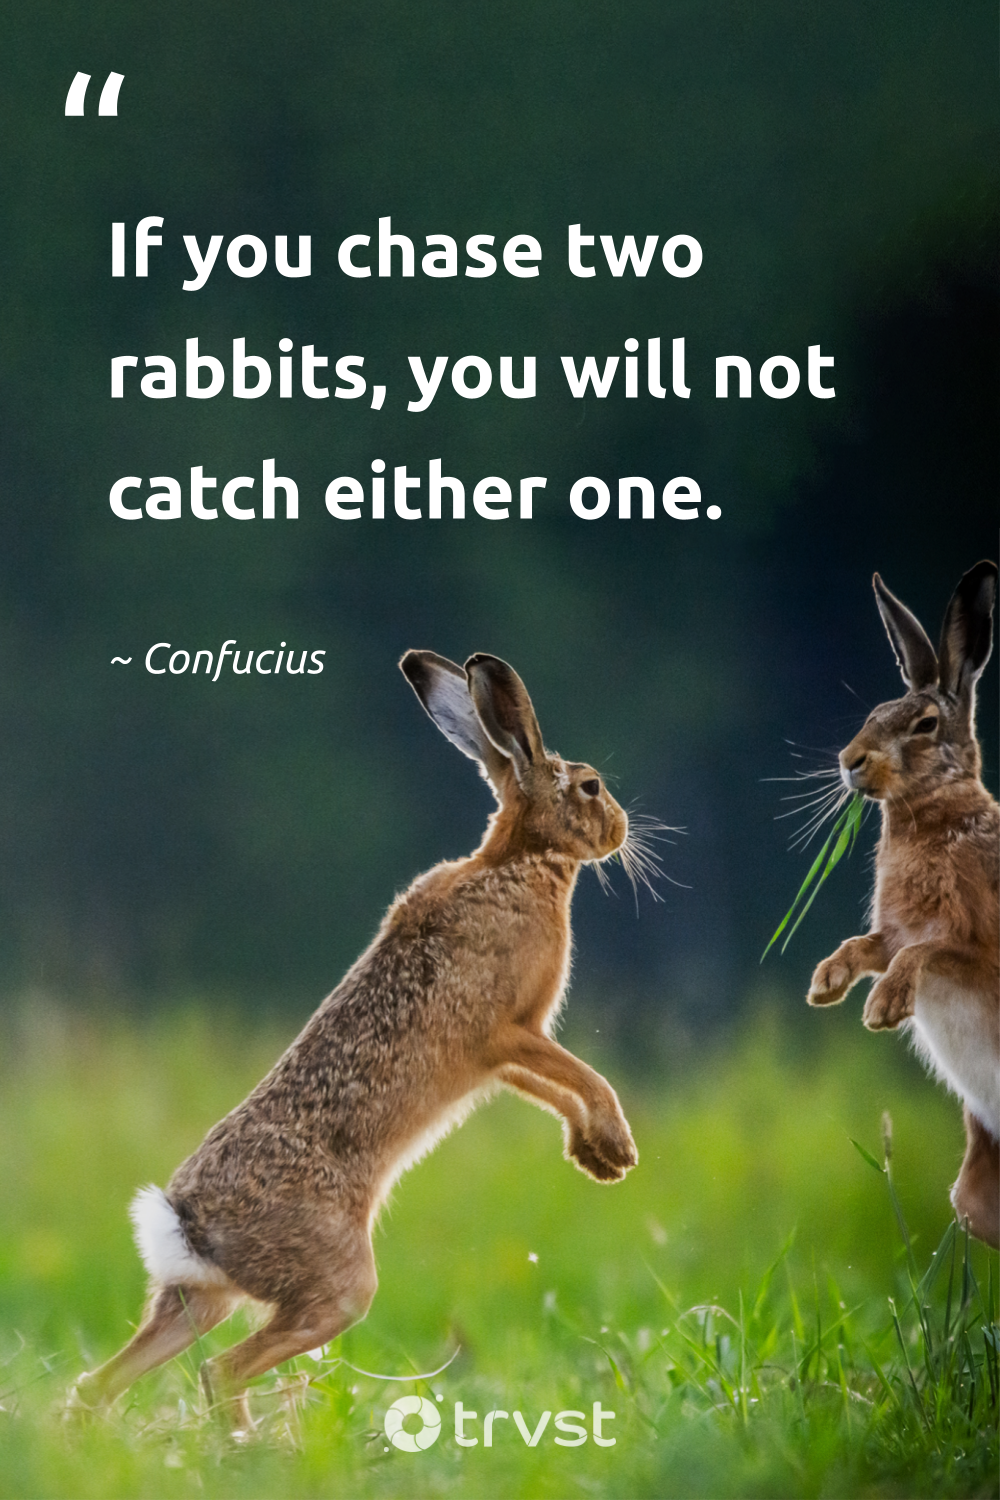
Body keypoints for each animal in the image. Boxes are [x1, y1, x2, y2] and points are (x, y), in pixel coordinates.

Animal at [68, 651, 639, 1429]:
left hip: (200, 1298)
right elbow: (583, 1075)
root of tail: (187, 1223)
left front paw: (591, 1157)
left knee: (105, 1382)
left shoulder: (501, 1058)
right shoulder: (508, 1030)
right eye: (590, 786)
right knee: (221, 1369)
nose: (620, 829)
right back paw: (251, 1446)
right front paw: (617, 1150)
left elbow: (555, 1088)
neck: (518, 862)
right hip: (338, 1287)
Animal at [807, 561, 999, 1247]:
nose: (849, 761)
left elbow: (925, 952)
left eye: (924, 726)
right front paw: (827, 983)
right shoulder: (891, 930)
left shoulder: (975, 946)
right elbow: (869, 946)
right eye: (875, 712)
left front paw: (884, 1007)